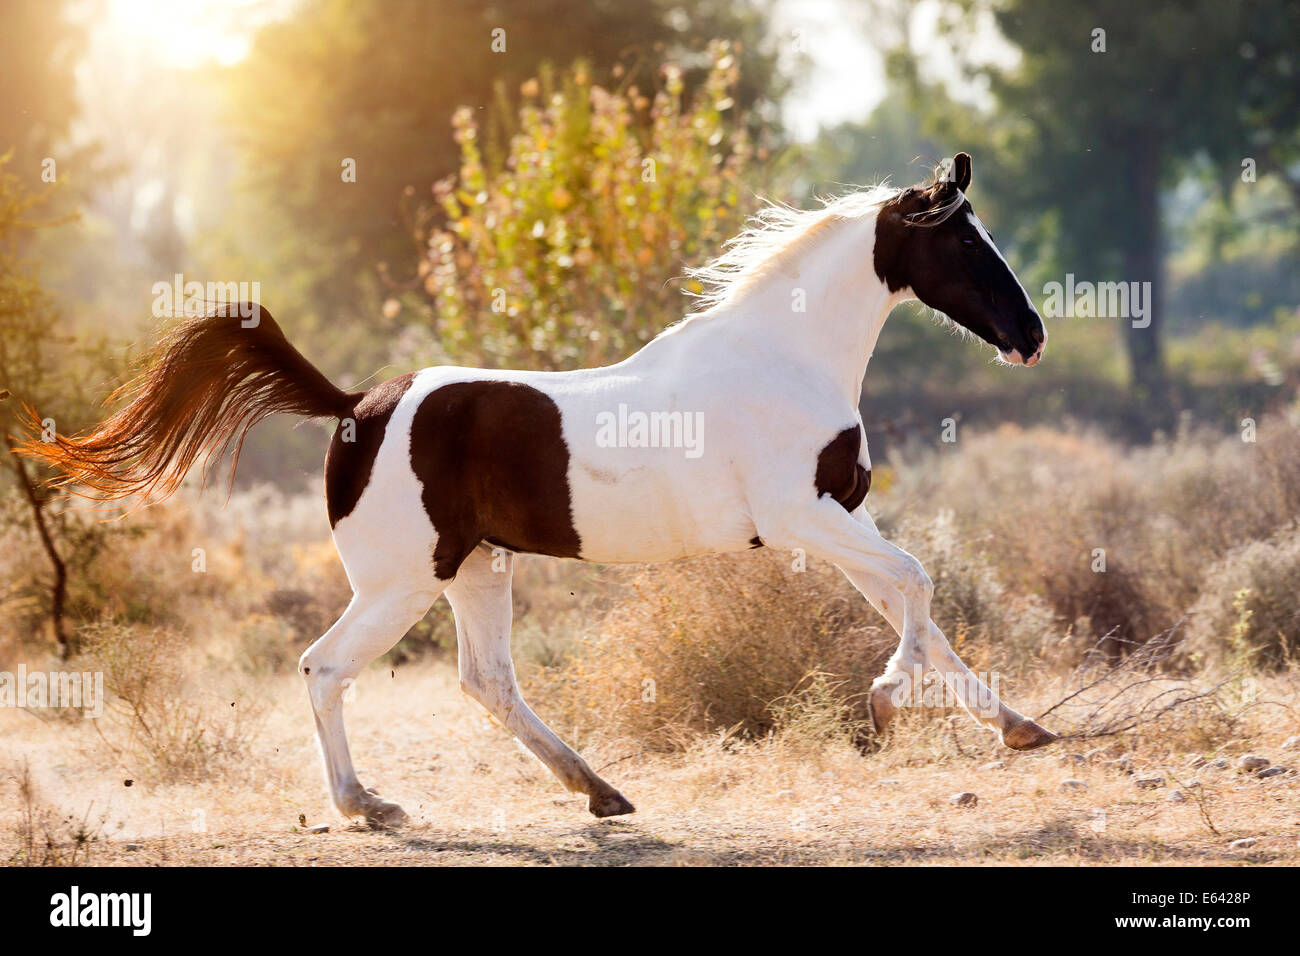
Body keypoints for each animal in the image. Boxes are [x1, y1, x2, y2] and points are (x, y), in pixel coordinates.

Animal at [21, 151, 1055, 827]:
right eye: (966, 245)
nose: (1032, 334)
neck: (782, 356)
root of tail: (358, 404)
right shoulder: (801, 518)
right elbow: (917, 584)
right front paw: (880, 706)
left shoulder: (839, 515)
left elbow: (914, 606)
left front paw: (1020, 728)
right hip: (400, 582)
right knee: (324, 667)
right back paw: (370, 805)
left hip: (479, 569)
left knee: (486, 681)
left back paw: (600, 792)